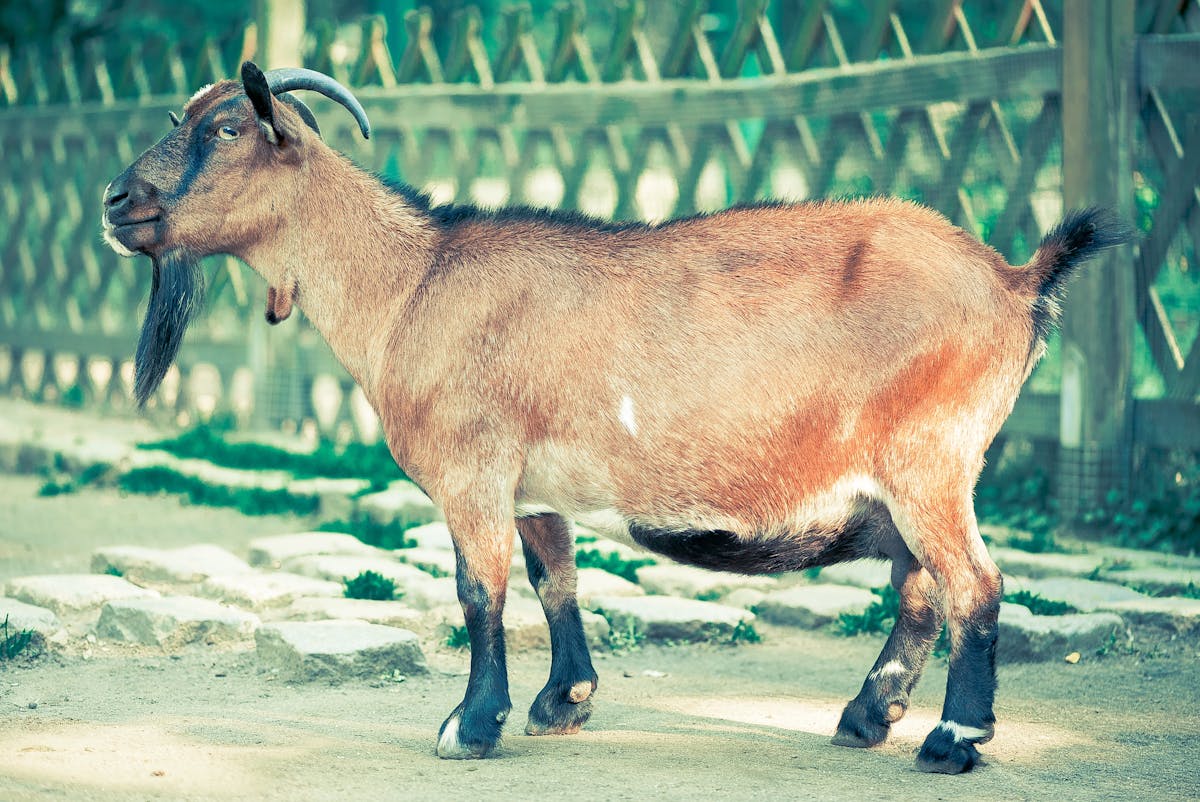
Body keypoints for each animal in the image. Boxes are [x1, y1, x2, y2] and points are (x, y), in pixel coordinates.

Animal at [102, 61, 1129, 772]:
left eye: (225, 126)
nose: (117, 200)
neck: (411, 283)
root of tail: (1016, 281)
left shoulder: (472, 471)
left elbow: (480, 591)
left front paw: (469, 726)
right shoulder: (533, 485)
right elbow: (555, 581)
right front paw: (564, 702)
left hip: (932, 458)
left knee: (974, 587)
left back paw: (952, 739)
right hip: (914, 476)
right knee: (919, 588)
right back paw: (863, 719)